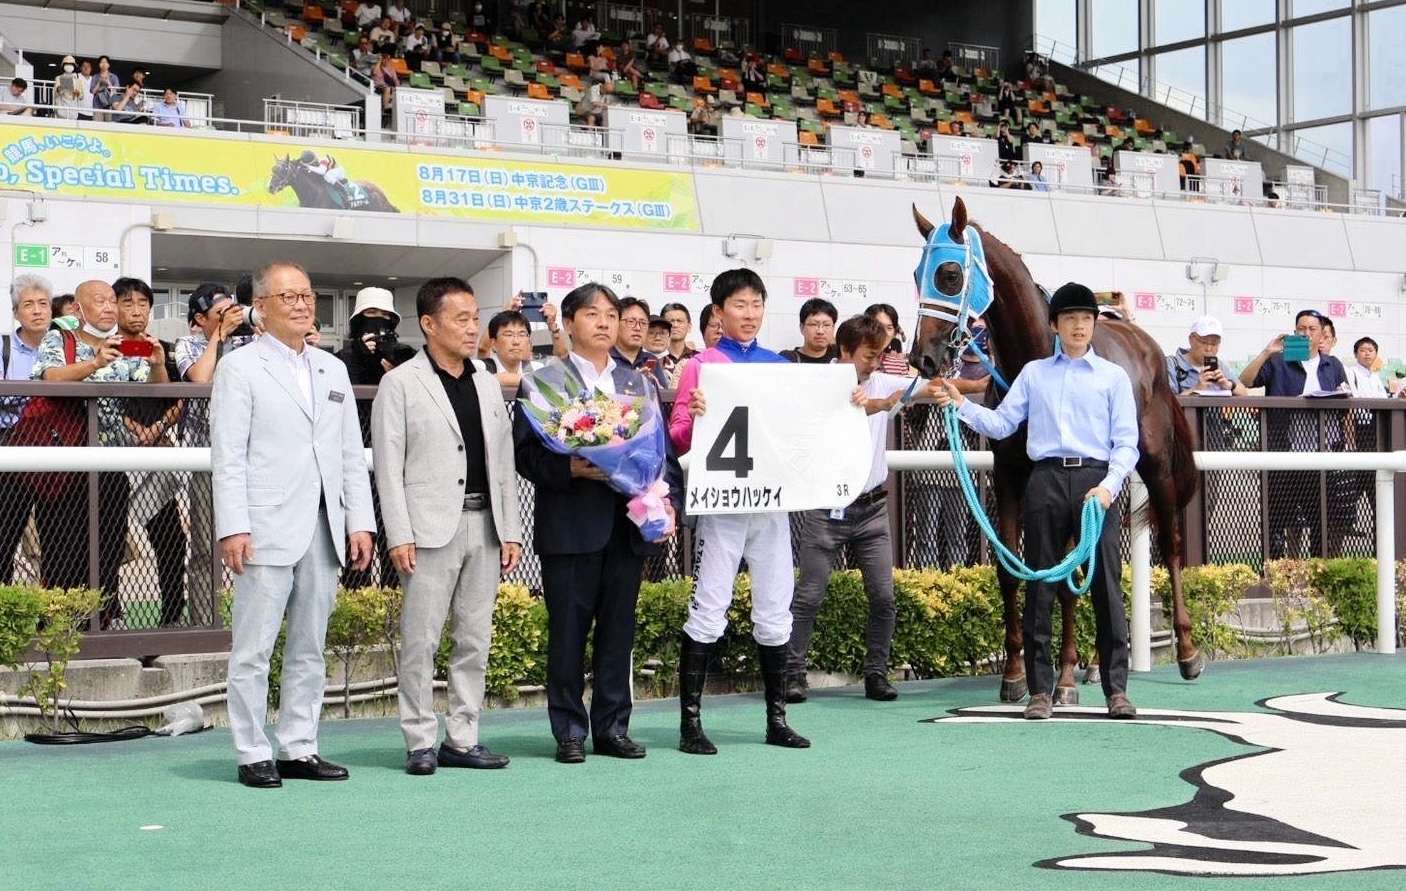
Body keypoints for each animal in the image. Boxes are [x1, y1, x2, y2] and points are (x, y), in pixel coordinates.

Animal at [908, 196, 1203, 705]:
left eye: (948, 274)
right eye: (914, 274)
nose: (921, 357)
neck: (1035, 354)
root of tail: (1146, 343)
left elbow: (1064, 582)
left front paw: (1062, 679)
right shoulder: (1009, 475)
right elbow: (1014, 572)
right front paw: (1014, 675)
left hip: (1158, 464)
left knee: (1171, 545)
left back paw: (1185, 652)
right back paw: (1095, 662)